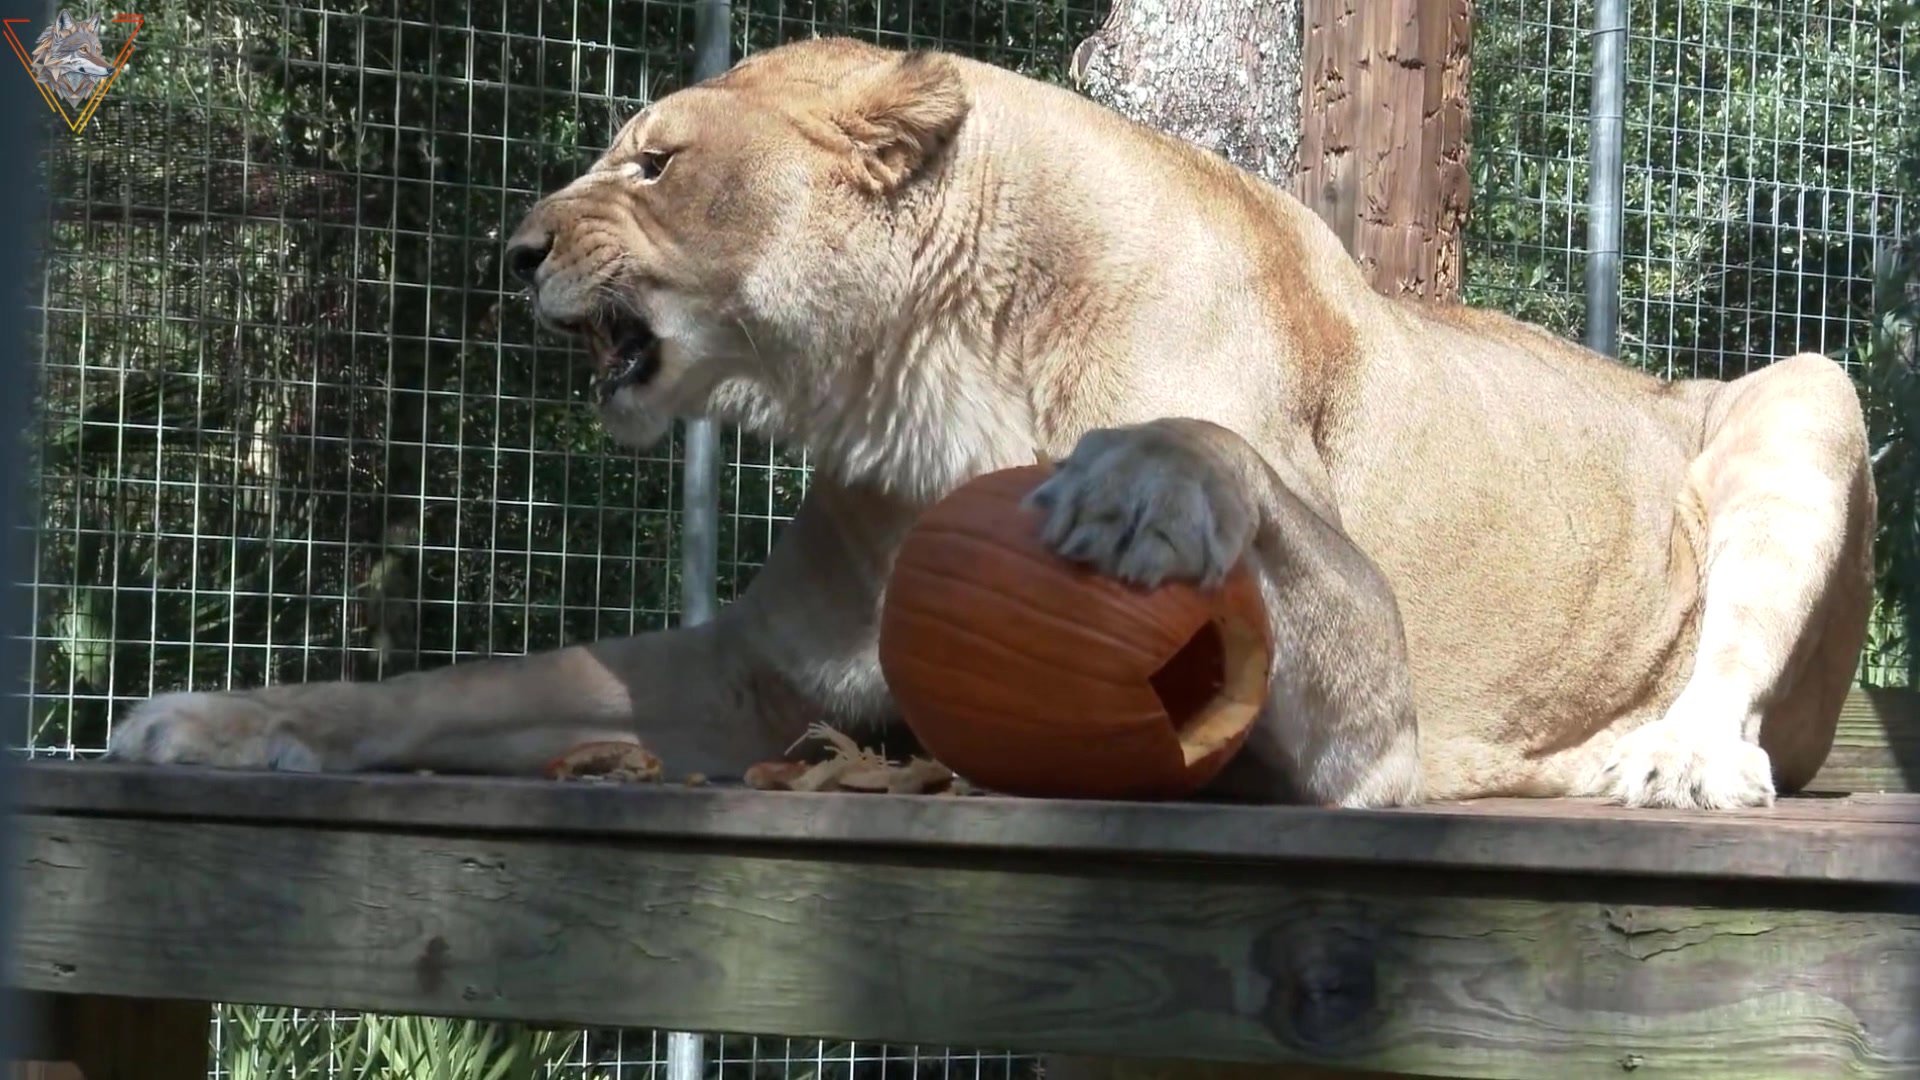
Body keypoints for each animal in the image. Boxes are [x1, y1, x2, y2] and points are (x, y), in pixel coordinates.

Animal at [107, 36, 1875, 817]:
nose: (510, 252)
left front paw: (1138, 481)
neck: (925, 371)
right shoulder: (754, 675)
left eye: (655, 163)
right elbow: (465, 686)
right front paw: (217, 723)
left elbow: (1237, 467)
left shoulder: (1370, 731)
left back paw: (1666, 760)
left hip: (1807, 388)